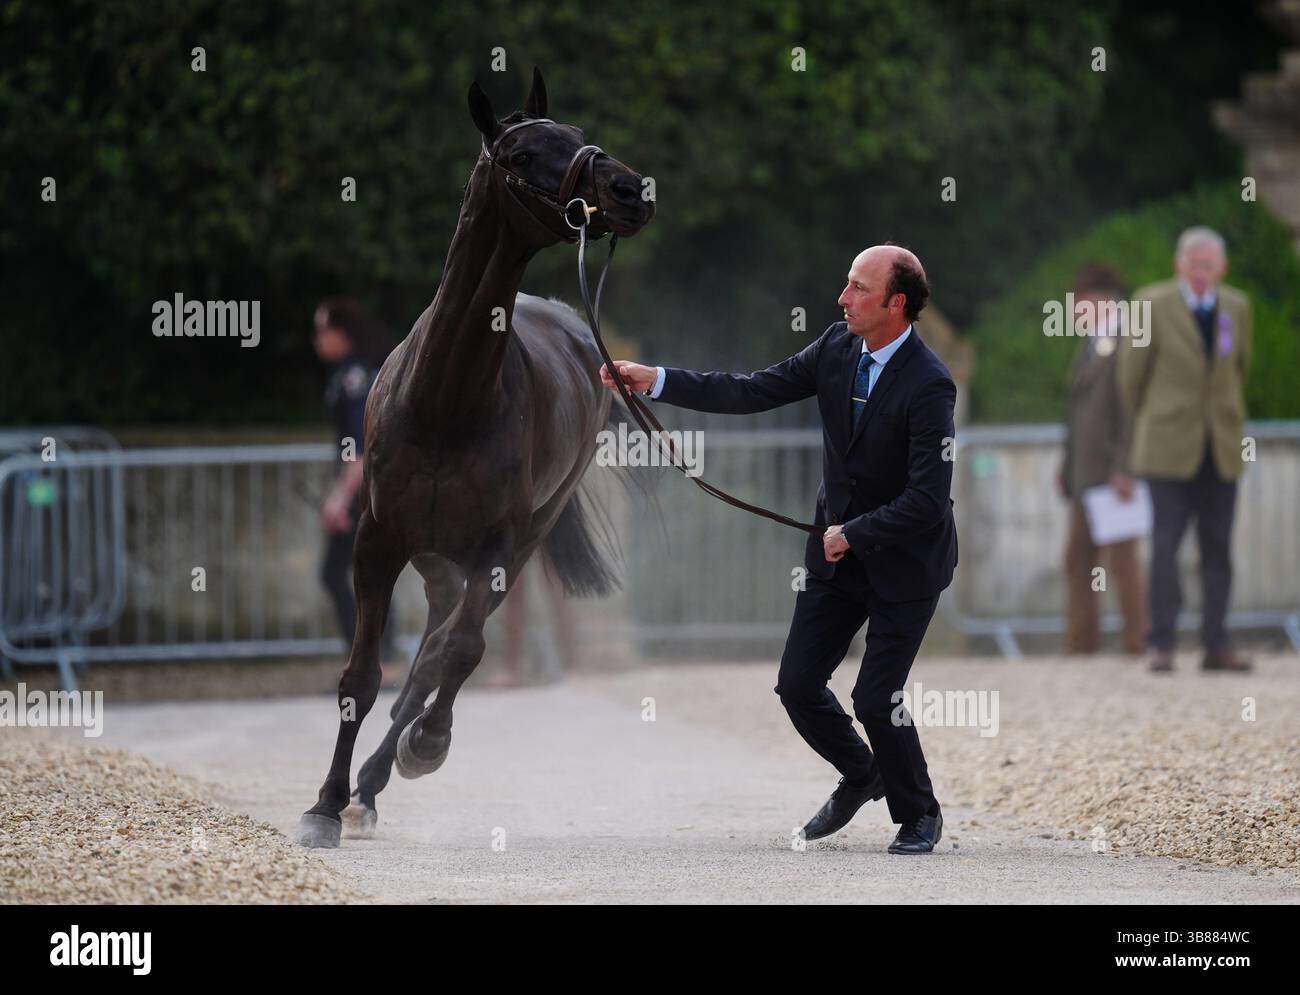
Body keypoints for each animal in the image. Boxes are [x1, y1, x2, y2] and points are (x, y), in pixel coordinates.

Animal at [294, 67, 656, 848]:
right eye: (522, 155)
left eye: (578, 136)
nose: (628, 190)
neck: (446, 400)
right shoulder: (378, 538)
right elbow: (360, 677)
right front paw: (323, 806)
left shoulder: (498, 543)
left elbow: (459, 651)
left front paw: (425, 746)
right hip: (433, 554)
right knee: (431, 631)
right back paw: (360, 792)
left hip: (523, 537)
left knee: (443, 646)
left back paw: (383, 773)